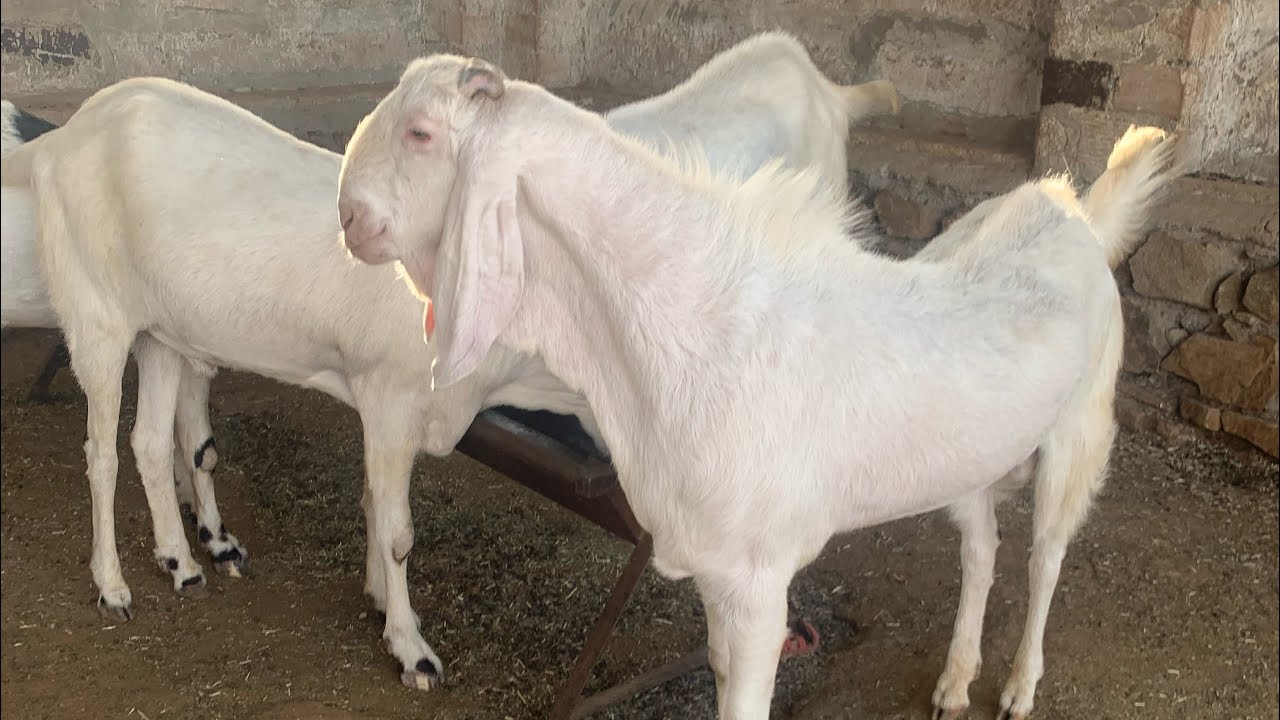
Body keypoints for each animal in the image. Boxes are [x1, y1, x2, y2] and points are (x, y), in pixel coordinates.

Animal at [3, 31, 898, 691]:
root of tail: (66, 135)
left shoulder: (387, 405)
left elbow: (373, 505)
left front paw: (373, 599)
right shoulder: (393, 394)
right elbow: (398, 530)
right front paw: (410, 645)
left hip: (162, 330)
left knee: (151, 445)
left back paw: (181, 562)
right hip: (97, 317)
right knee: (99, 453)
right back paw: (113, 584)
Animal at [335, 51, 1178, 719]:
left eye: (420, 133)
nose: (347, 218)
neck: (686, 325)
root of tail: (1074, 216)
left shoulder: (759, 576)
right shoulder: (717, 570)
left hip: (1078, 433)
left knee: (1045, 558)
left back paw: (1018, 689)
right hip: (970, 460)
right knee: (981, 551)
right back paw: (953, 684)